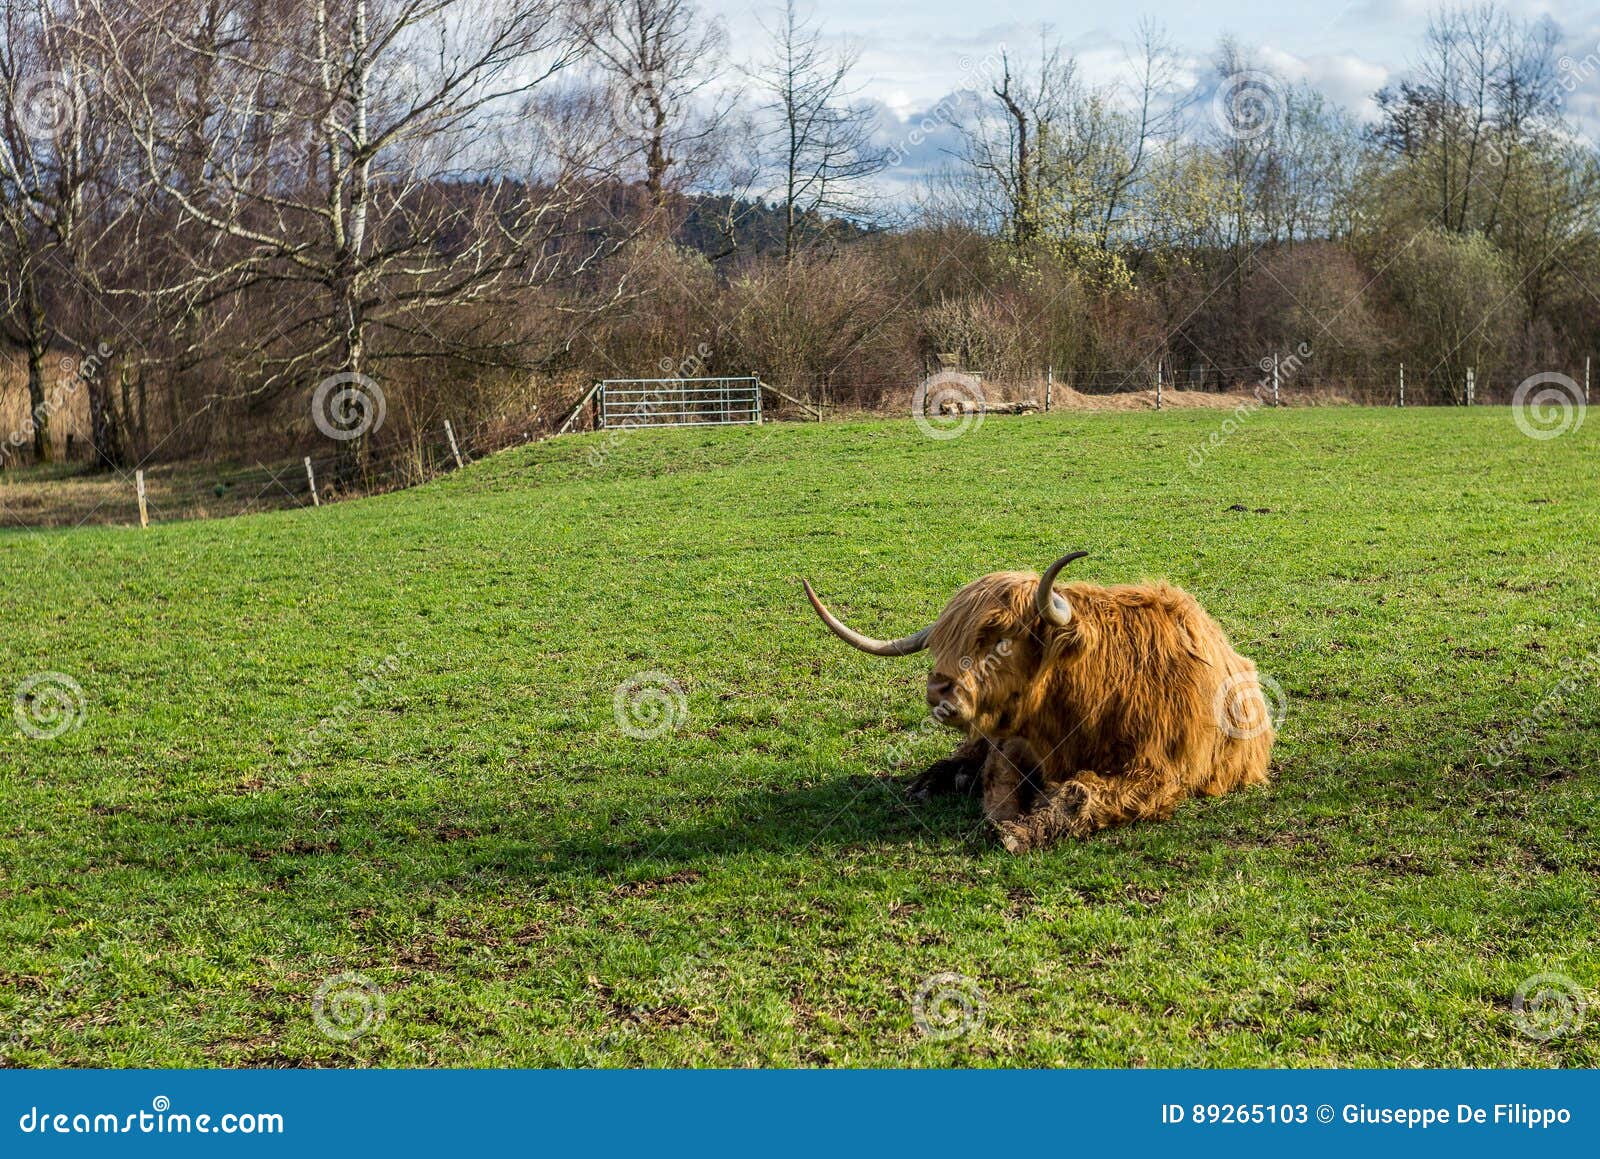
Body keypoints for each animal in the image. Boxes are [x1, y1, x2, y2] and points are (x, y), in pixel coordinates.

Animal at [802, 551, 1274, 853]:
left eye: (1001, 638)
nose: (938, 689)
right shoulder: (1009, 743)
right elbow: (999, 783)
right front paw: (1002, 816)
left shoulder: (1161, 773)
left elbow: (1079, 793)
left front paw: (1019, 833)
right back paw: (930, 783)